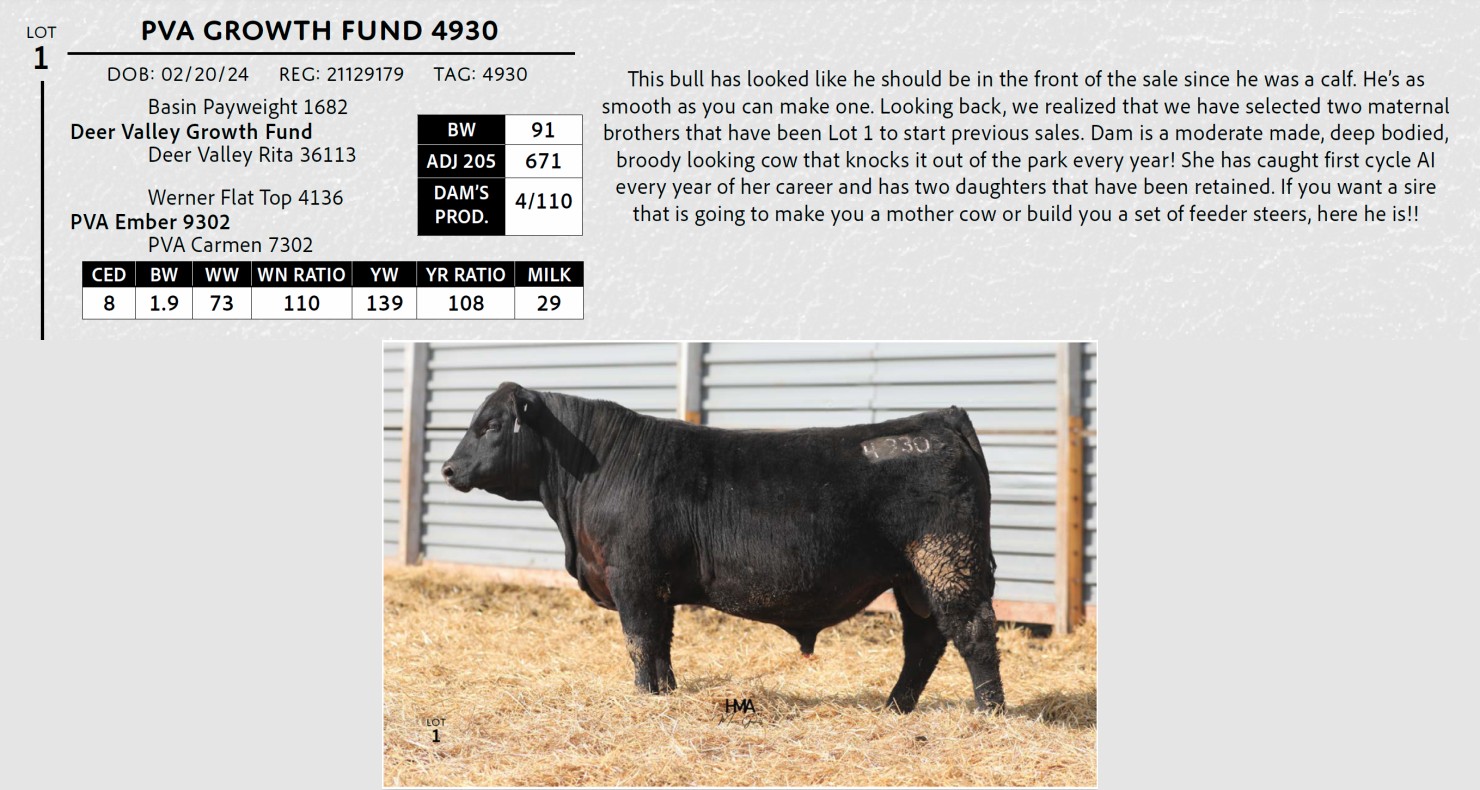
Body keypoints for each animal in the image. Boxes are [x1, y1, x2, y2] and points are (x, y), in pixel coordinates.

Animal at [440, 382, 1005, 713]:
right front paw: (665, 692)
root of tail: (940, 418)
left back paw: (988, 711)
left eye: (490, 424)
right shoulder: (658, 586)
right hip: (913, 577)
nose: (448, 468)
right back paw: (895, 706)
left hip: (946, 560)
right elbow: (661, 644)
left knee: (973, 631)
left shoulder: (633, 578)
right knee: (925, 640)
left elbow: (639, 641)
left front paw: (644, 697)